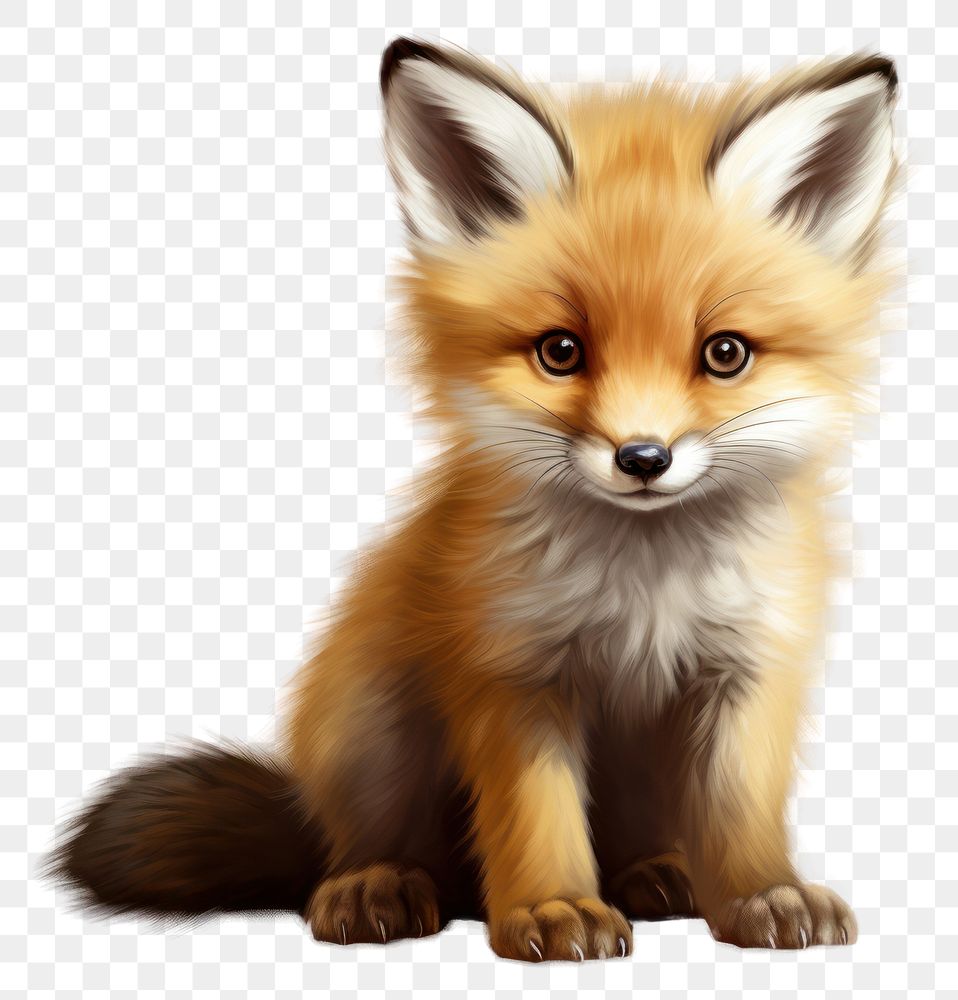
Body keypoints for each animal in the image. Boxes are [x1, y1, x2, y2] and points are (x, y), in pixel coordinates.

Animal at [48, 38, 901, 962]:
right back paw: (376, 884)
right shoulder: (511, 671)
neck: (644, 589)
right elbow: (535, 815)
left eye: (725, 353)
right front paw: (554, 907)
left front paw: (761, 893)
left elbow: (740, 811)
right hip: (375, 726)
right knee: (370, 850)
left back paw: (656, 876)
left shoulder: (745, 670)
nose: (643, 457)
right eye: (560, 351)